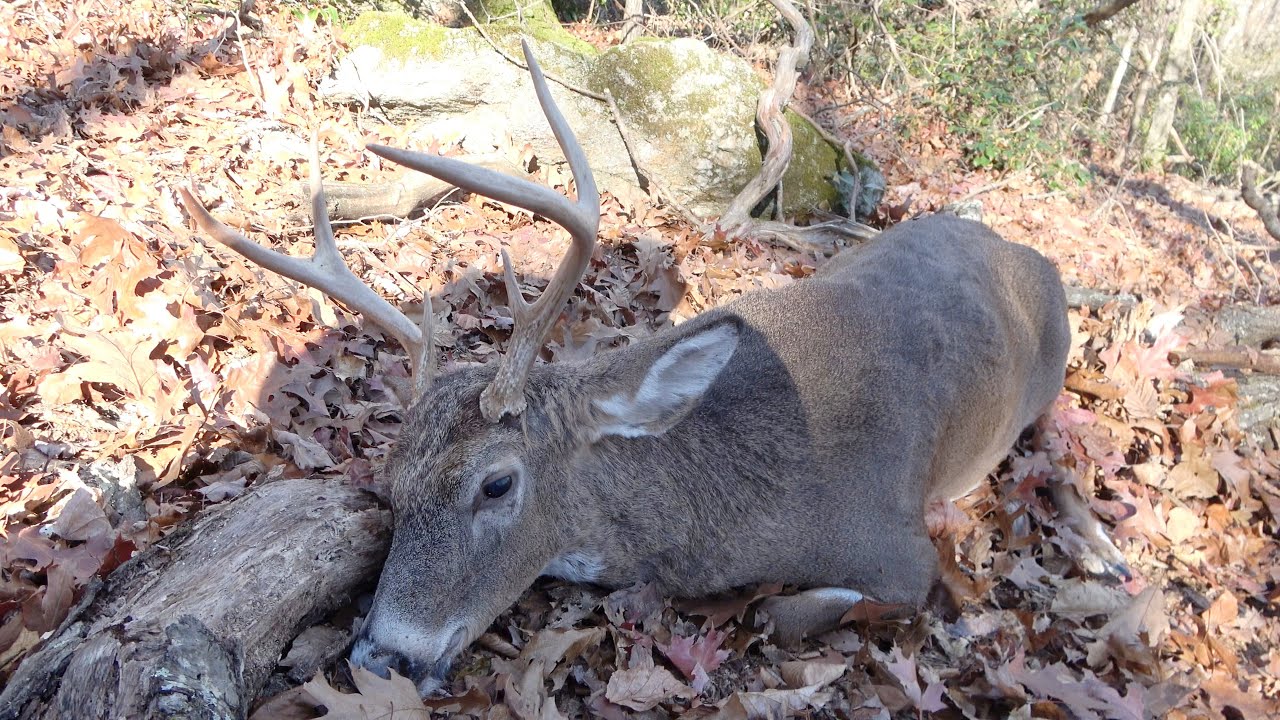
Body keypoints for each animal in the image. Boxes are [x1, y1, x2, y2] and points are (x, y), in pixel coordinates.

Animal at [177, 41, 1128, 696]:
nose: (383, 655)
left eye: (497, 483)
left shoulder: (897, 548)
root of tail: (1032, 257)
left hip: (1043, 381)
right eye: (389, 479)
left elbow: (785, 609)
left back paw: (1107, 555)